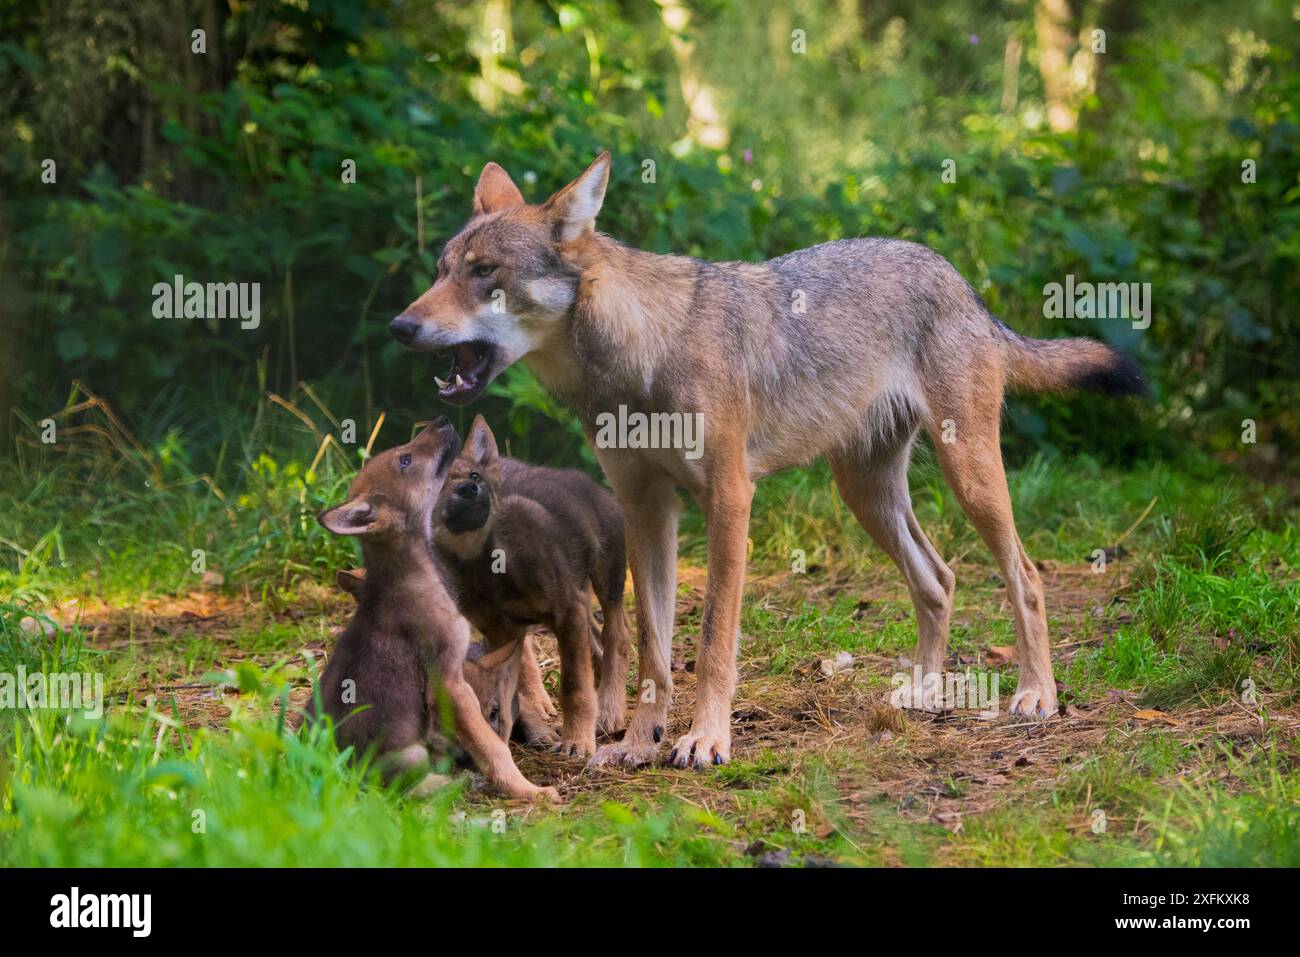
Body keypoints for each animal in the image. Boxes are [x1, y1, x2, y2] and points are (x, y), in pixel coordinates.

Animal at [388, 152, 1145, 769]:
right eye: (442, 270)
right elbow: (654, 645)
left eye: (485, 273)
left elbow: (713, 639)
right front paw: (637, 741)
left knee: (1025, 575)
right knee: (940, 578)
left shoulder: (730, 500)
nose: (400, 326)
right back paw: (924, 694)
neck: (640, 354)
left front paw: (705, 741)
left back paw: (1036, 694)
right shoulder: (646, 508)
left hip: (970, 478)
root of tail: (961, 281)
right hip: (866, 494)